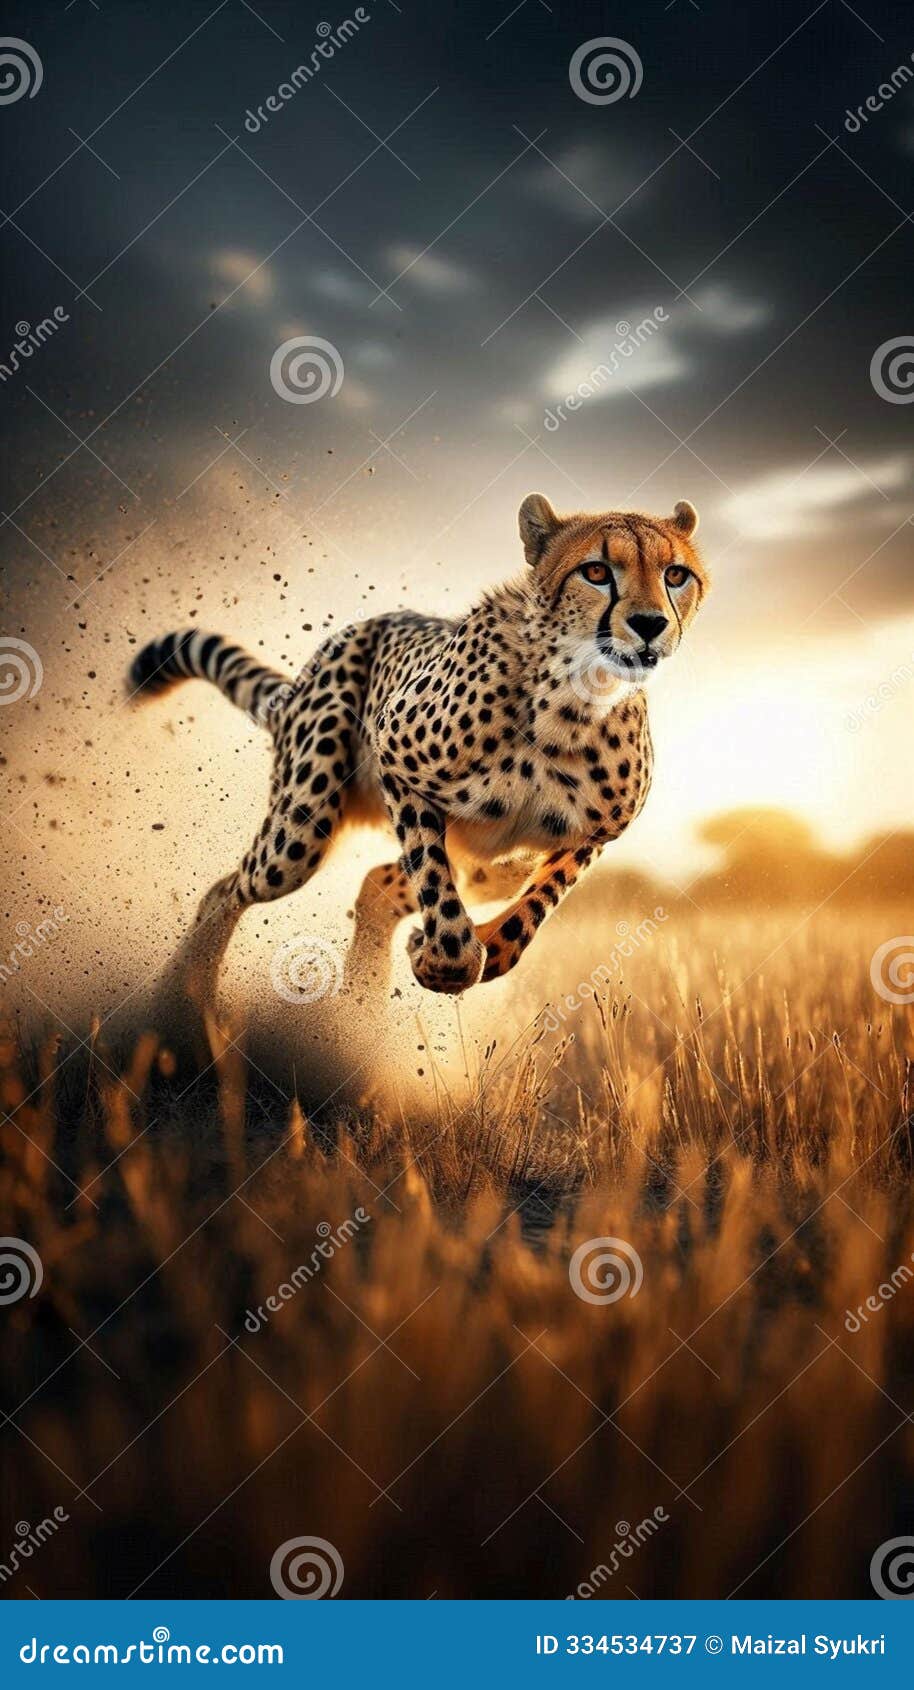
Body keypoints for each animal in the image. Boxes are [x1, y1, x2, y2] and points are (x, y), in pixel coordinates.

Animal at [128, 494, 708, 1022]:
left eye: (676, 574)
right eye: (596, 571)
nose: (650, 623)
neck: (573, 700)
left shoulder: (591, 837)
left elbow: (531, 914)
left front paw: (470, 948)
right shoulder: (397, 762)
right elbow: (435, 881)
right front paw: (446, 959)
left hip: (491, 865)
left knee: (378, 884)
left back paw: (357, 1014)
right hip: (299, 832)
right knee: (228, 888)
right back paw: (184, 1003)